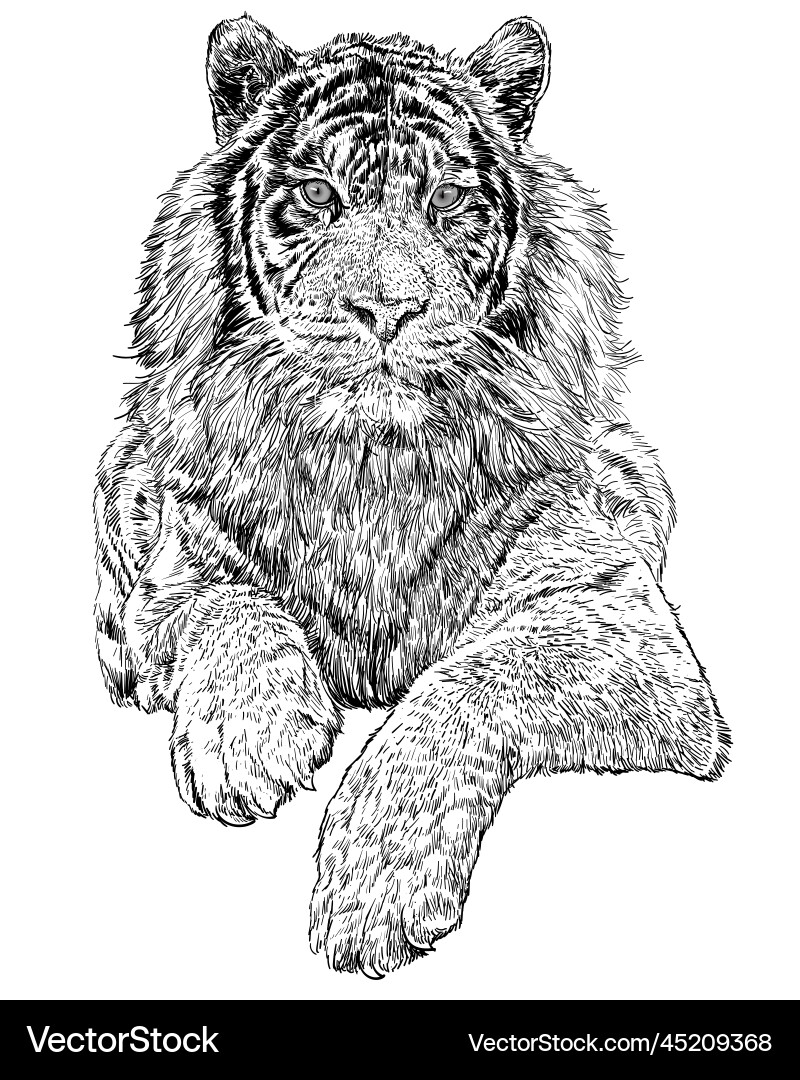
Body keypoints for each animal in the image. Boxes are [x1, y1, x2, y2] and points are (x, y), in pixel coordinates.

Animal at [94, 14, 730, 975]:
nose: (387, 311)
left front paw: (373, 893)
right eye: (317, 197)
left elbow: (472, 683)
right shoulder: (184, 571)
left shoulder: (611, 611)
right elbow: (233, 611)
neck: (371, 468)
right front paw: (250, 743)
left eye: (446, 202)